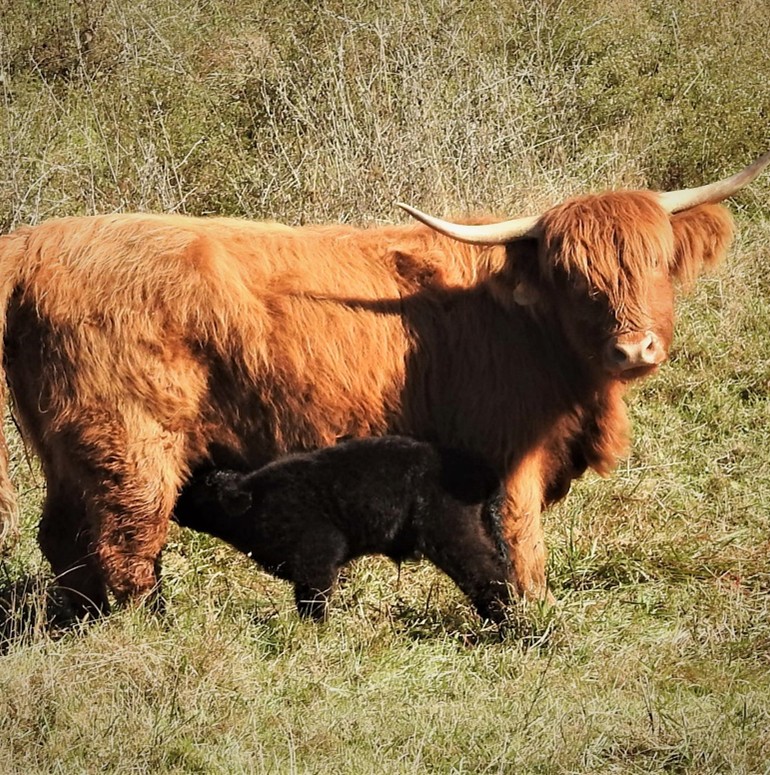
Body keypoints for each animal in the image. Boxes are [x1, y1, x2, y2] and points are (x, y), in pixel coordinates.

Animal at [173, 435, 512, 622]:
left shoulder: (318, 552)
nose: (172, 505)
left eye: (194, 490)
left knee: (486, 575)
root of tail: (483, 471)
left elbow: (313, 599)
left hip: (451, 531)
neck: (254, 501)